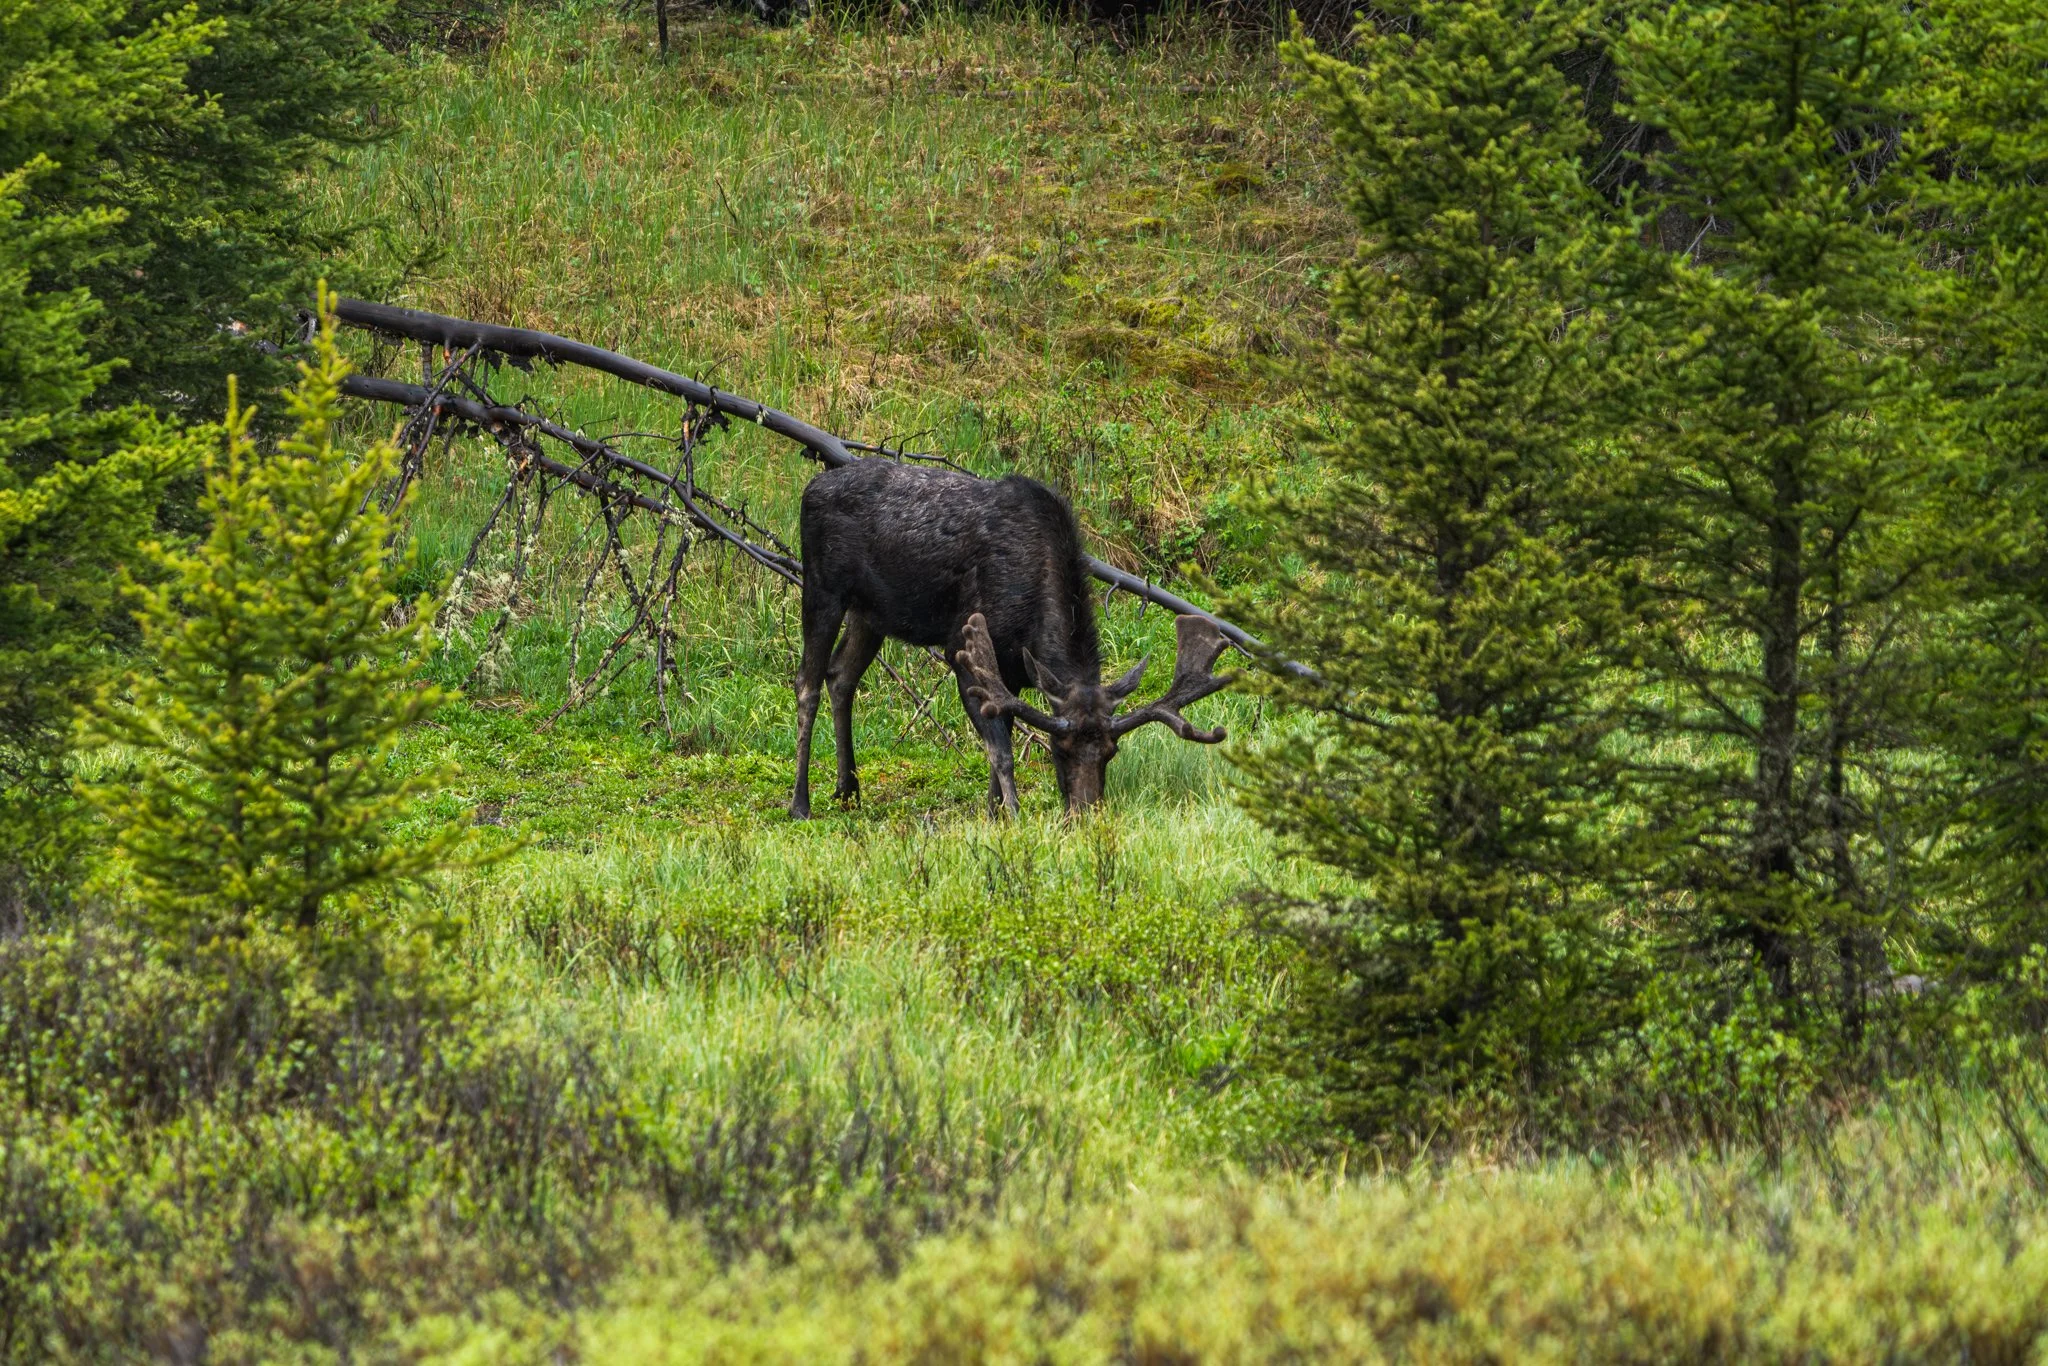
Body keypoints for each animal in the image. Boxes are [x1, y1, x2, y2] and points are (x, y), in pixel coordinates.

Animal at [788, 458, 1235, 818]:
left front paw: (994, 813)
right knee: (807, 682)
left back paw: (848, 790)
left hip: (871, 614)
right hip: (822, 588)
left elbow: (996, 737)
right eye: (1060, 748)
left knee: (841, 676)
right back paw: (800, 804)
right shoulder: (962, 647)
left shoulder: (1014, 670)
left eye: (1112, 752)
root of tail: (809, 488)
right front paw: (1014, 816)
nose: (1086, 814)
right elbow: (1000, 751)